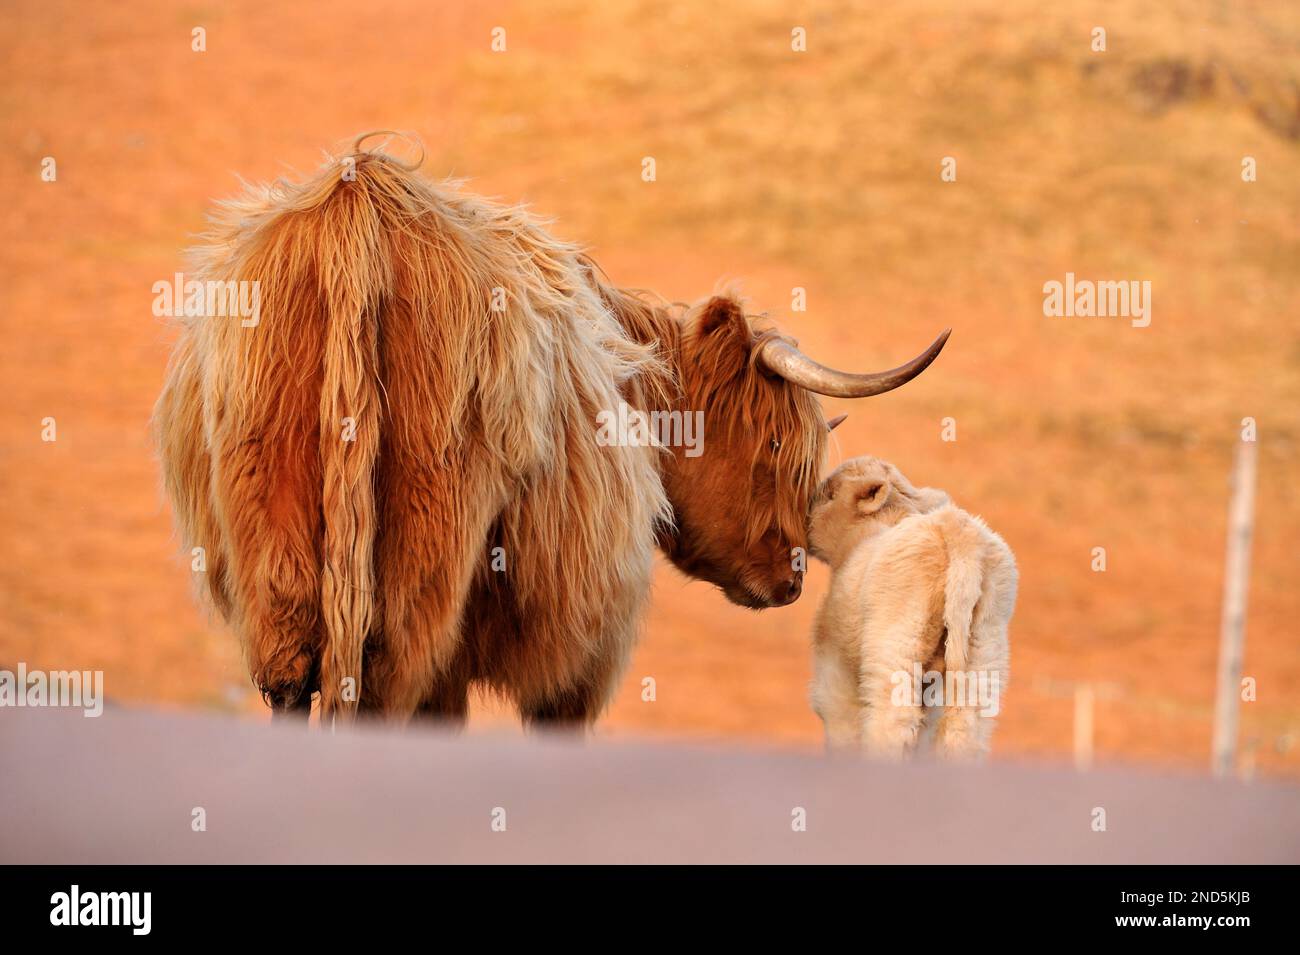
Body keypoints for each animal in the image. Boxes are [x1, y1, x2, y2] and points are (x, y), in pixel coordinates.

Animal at [153, 133, 948, 728]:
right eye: (777, 445)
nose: (792, 576)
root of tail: (361, 207)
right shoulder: (576, 650)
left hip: (280, 572)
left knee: (296, 685)